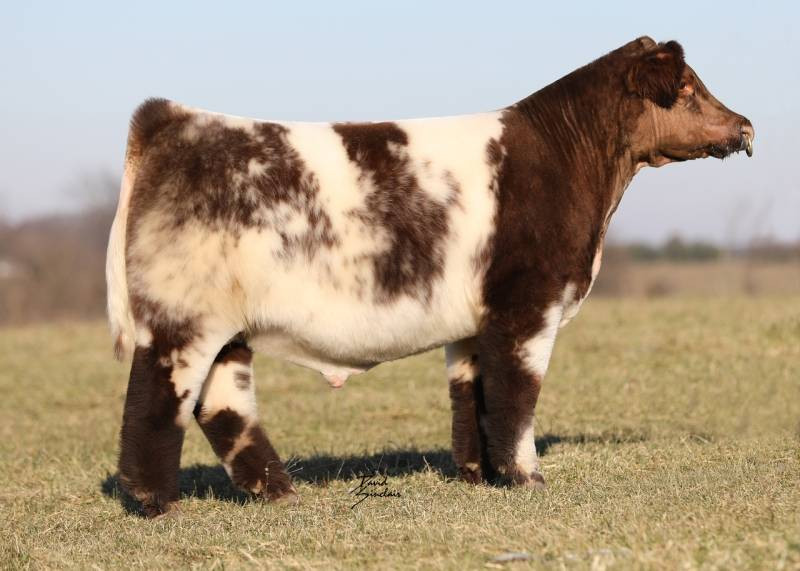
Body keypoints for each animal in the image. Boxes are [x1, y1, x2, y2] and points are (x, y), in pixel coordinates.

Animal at [106, 37, 753, 517]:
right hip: (182, 320)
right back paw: (156, 502)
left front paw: (477, 476)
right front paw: (527, 478)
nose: (744, 126)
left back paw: (279, 491)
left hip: (227, 329)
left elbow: (473, 398)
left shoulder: (474, 323)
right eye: (686, 88)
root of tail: (175, 119)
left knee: (222, 405)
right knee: (155, 403)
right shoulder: (527, 305)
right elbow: (517, 395)